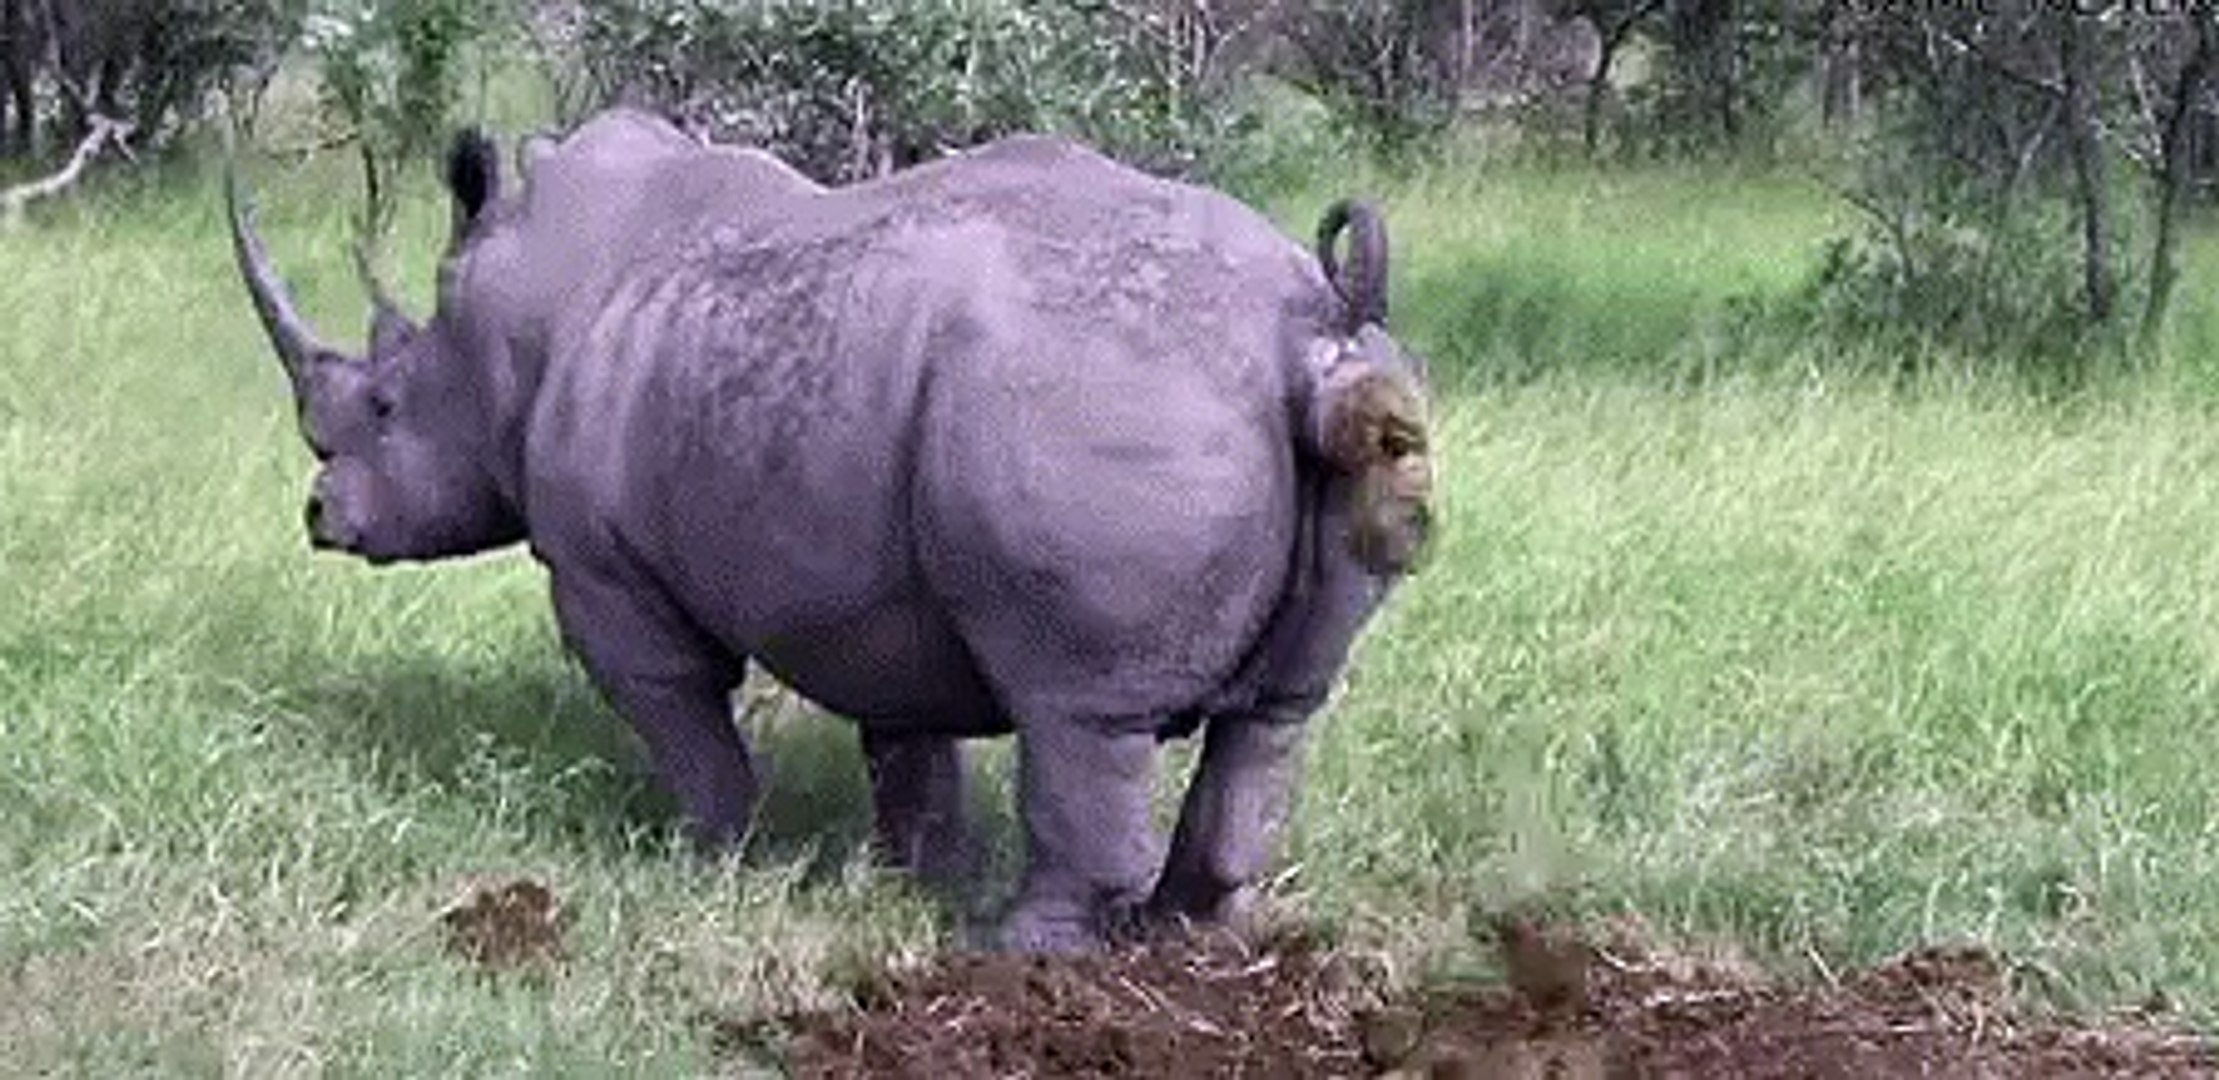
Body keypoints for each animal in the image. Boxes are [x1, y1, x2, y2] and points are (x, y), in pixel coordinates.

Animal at [226, 108, 1433, 951]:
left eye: (384, 405)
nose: (321, 518)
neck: (507, 325)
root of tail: (1311, 322)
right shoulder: (873, 574)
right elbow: (905, 729)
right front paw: (908, 876)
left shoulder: (600, 569)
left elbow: (676, 708)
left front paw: (715, 859)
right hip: (1275, 405)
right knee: (1277, 712)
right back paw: (1192, 932)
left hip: (1101, 395)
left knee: (1077, 711)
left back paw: (1021, 950)